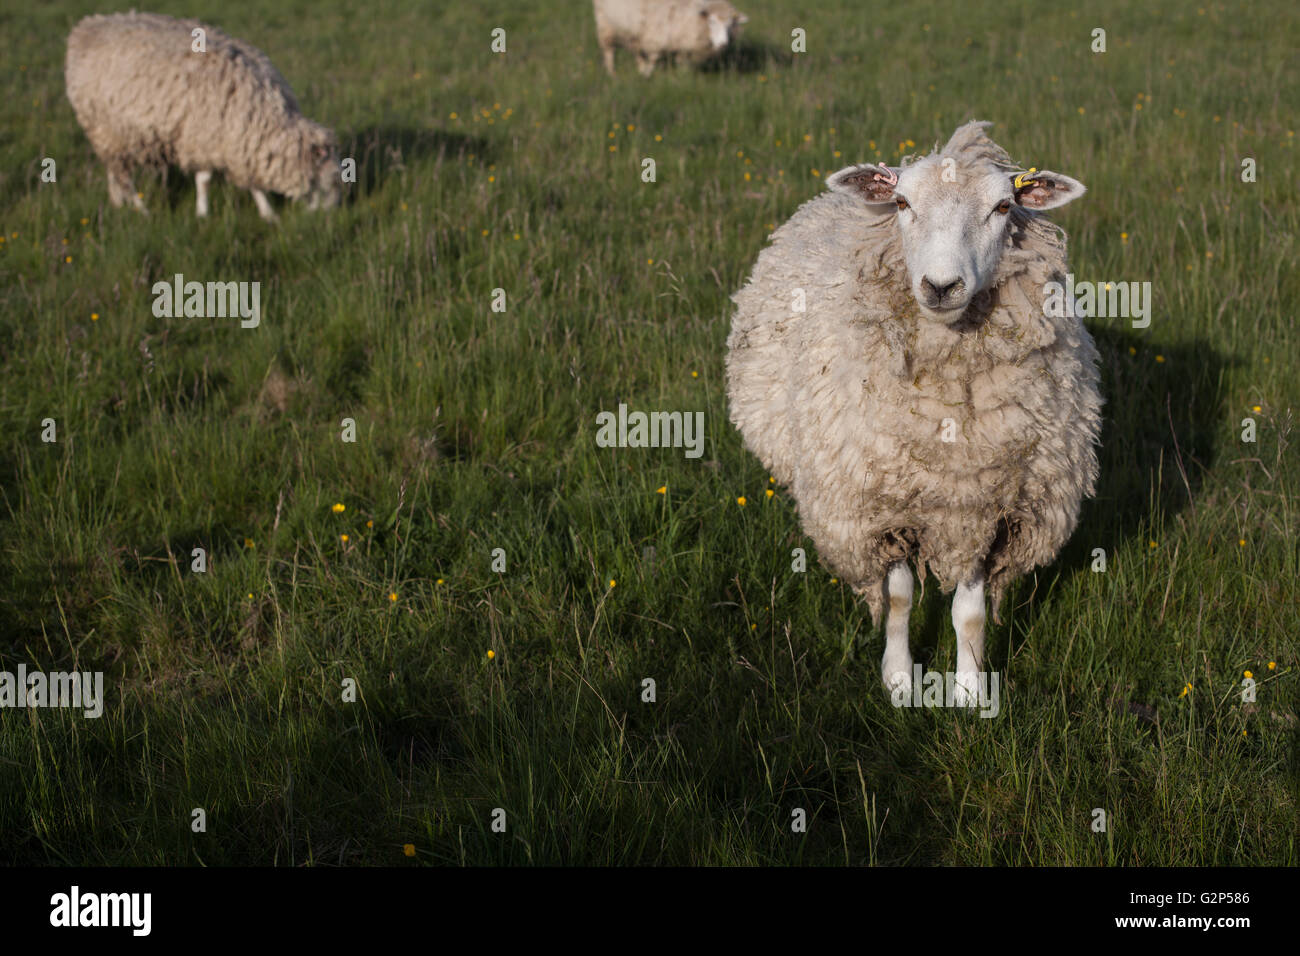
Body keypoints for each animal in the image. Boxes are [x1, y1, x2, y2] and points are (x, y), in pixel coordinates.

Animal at [65, 12, 340, 221]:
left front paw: (268, 213)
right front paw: (203, 213)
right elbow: (205, 180)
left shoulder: (234, 143)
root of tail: (85, 28)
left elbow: (252, 183)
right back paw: (141, 209)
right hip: (104, 127)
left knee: (114, 169)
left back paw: (118, 203)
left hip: (110, 132)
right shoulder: (202, 138)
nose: (328, 218)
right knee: (123, 176)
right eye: (331, 181)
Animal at [593, 0, 748, 76]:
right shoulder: (656, 38)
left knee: (637, 51)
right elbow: (654, 59)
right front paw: (646, 74)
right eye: (712, 21)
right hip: (605, 24)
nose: (723, 44)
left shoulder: (682, 47)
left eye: (731, 24)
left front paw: (681, 77)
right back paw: (611, 73)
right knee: (608, 51)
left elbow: (681, 64)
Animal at [726, 121, 1101, 704]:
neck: (947, 416)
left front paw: (970, 691)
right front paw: (900, 679)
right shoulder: (885, 503)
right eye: (902, 203)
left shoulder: (980, 505)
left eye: (1002, 207)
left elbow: (970, 613)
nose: (942, 287)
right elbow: (899, 598)